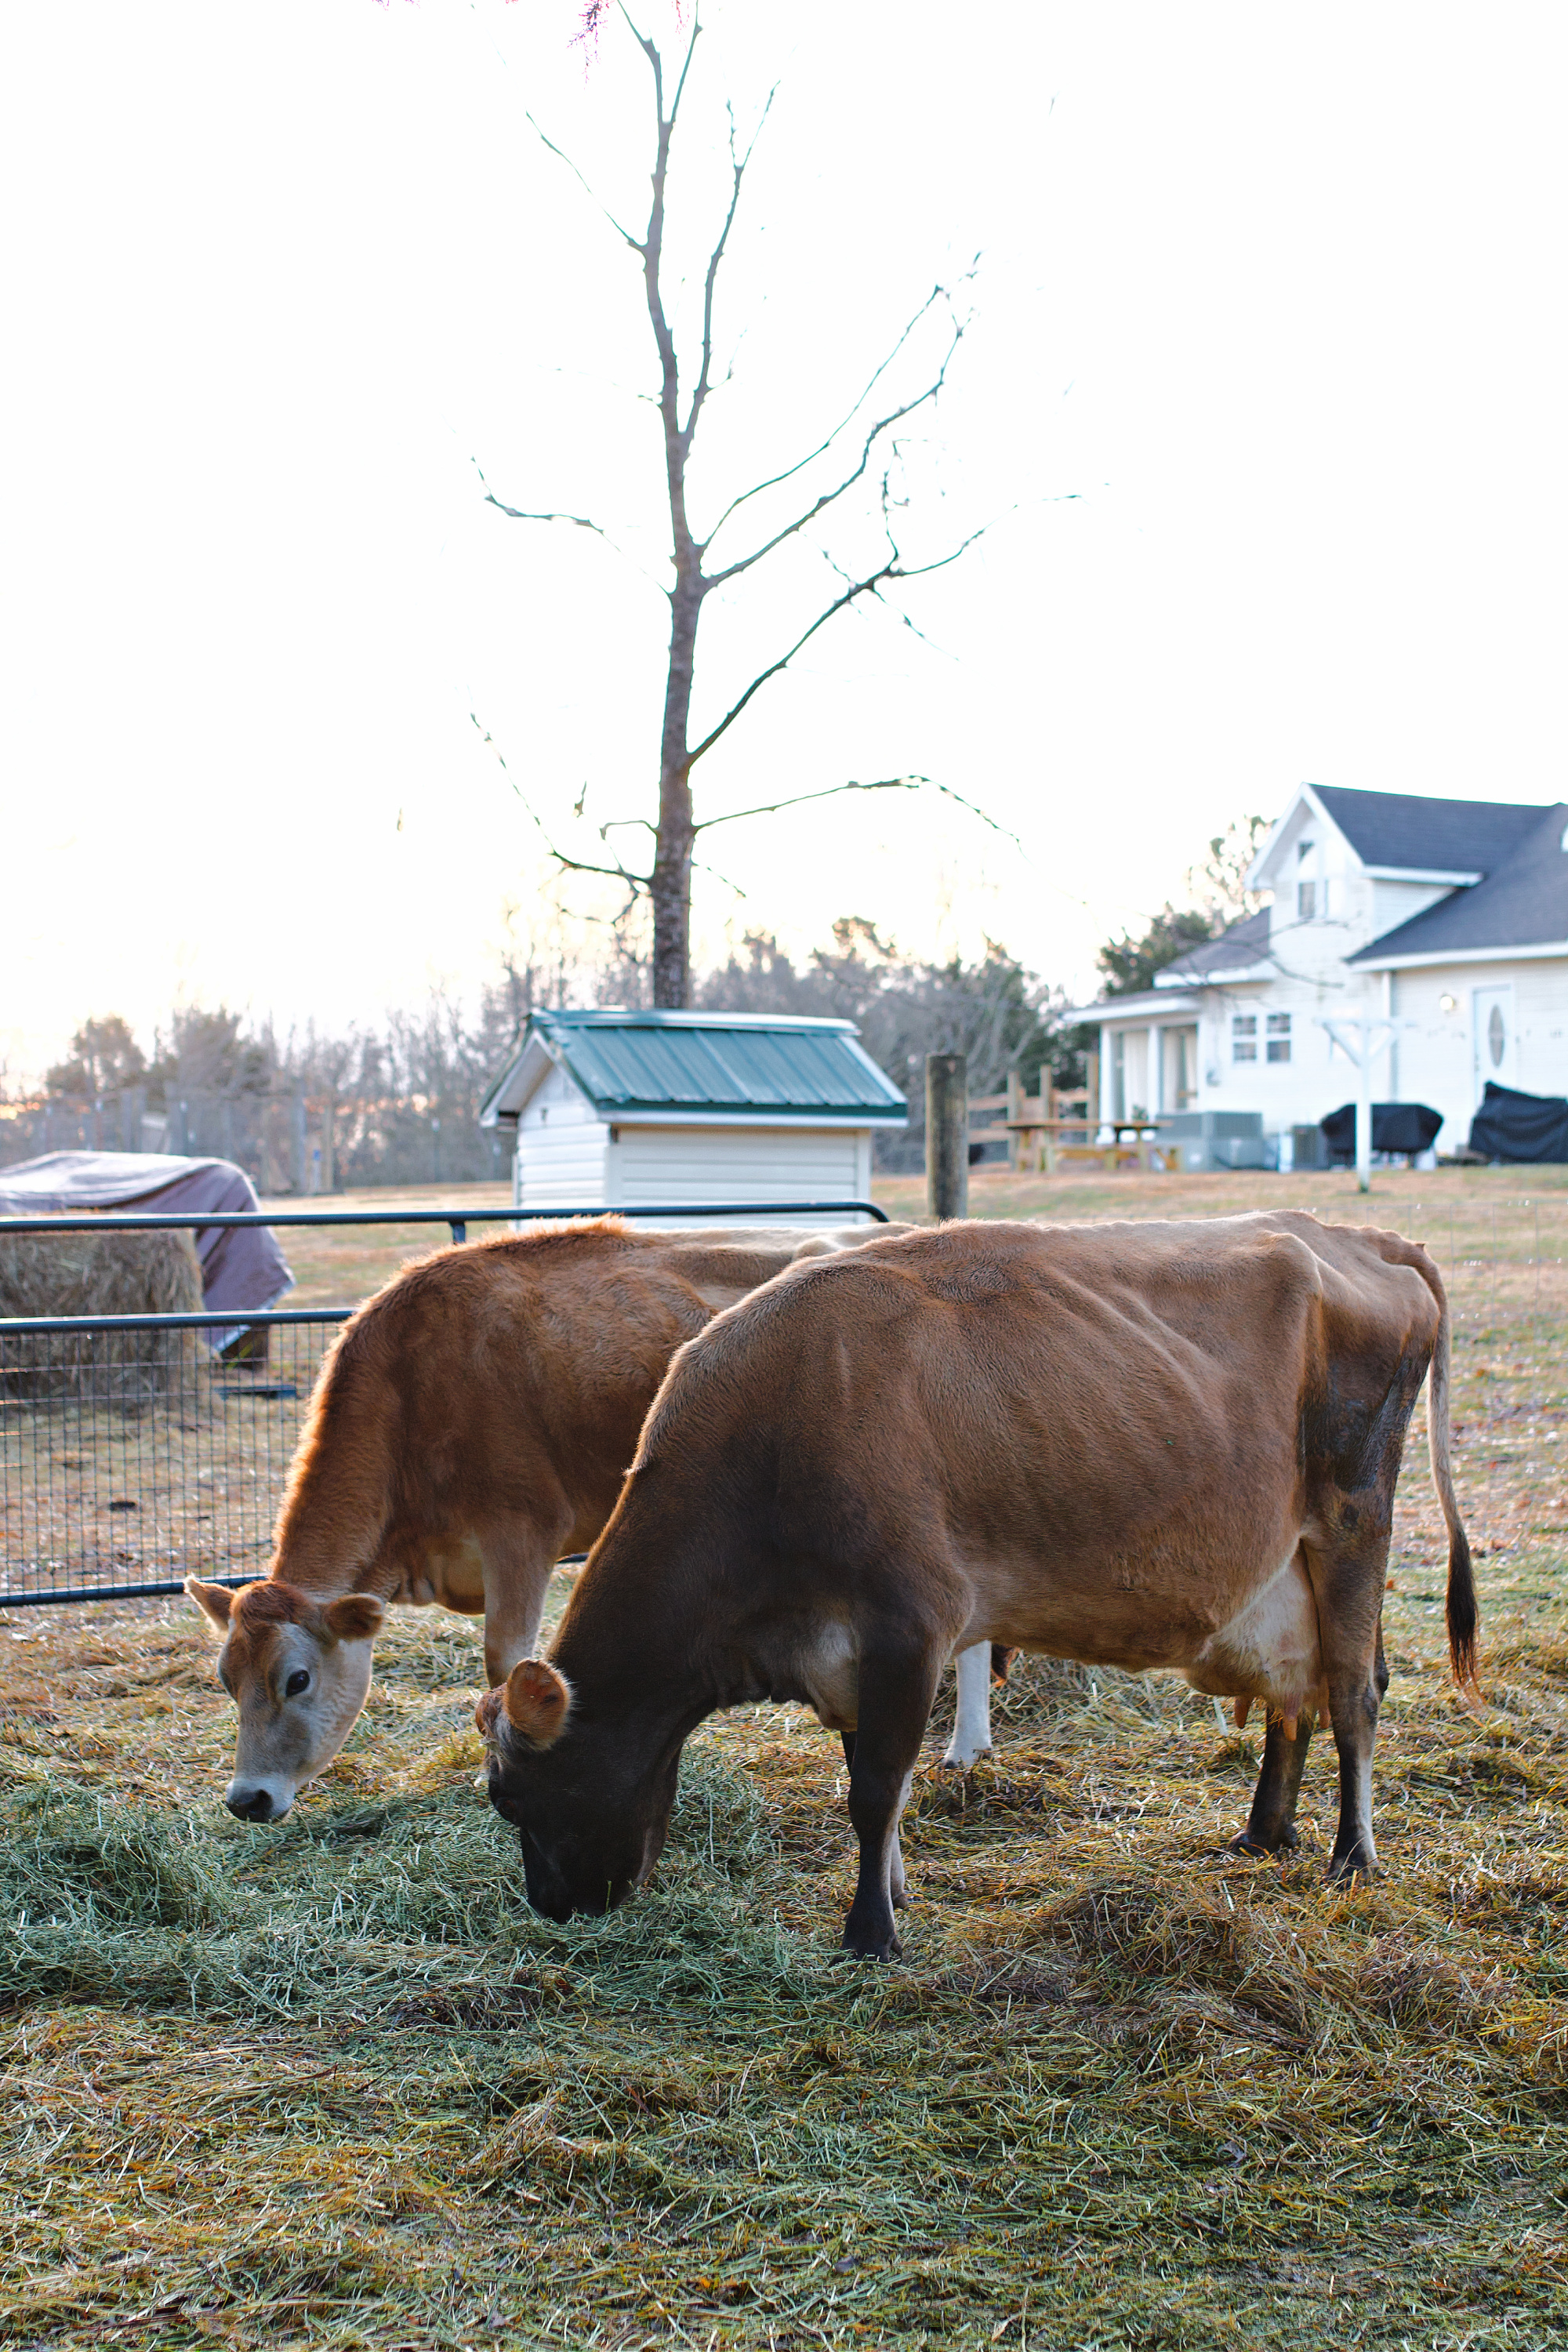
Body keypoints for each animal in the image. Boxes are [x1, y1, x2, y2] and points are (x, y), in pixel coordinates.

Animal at [477, 1212, 1477, 1959]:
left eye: (511, 1798)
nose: (551, 1907)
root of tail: (1354, 1236)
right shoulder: (851, 1653)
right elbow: (872, 1781)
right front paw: (894, 1894)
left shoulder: (906, 1622)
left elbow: (875, 1788)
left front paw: (870, 1933)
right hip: (1285, 1566)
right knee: (1290, 1694)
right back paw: (1264, 1832)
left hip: (1355, 1516)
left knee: (1353, 1691)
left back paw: (1351, 1857)